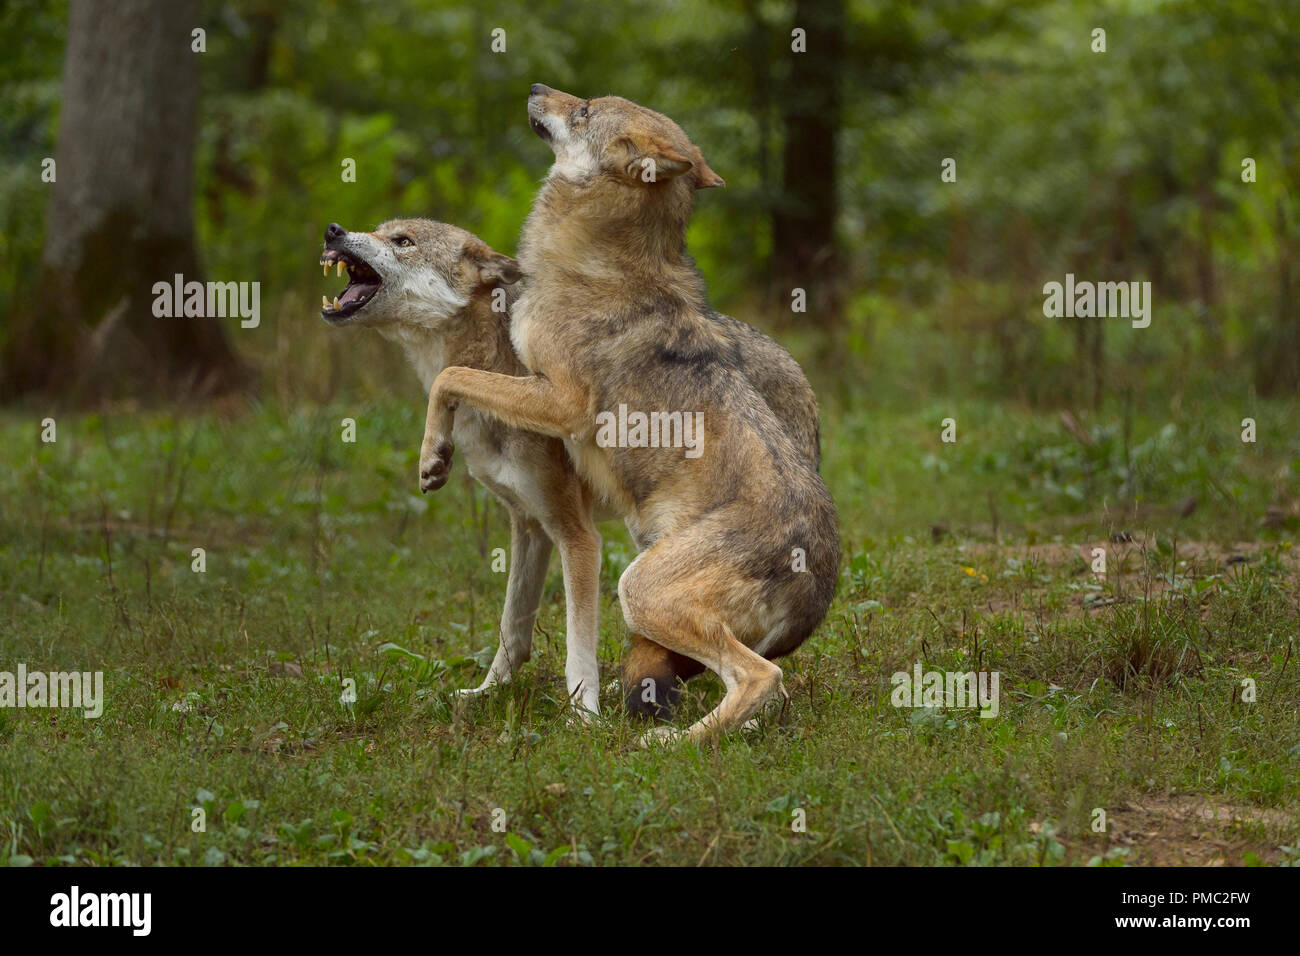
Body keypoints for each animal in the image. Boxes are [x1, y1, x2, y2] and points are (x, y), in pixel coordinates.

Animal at [318, 216, 821, 720]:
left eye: (403, 241)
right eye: (379, 230)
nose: (332, 230)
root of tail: (796, 368)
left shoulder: (578, 537)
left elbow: (578, 647)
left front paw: (584, 717)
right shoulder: (529, 526)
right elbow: (512, 630)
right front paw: (486, 693)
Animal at [416, 86, 840, 742]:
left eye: (585, 109)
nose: (535, 89)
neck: (600, 261)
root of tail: (818, 579)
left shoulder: (558, 400)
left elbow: (450, 377)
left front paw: (433, 458)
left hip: (637, 590)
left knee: (760, 679)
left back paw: (667, 745)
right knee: (761, 690)